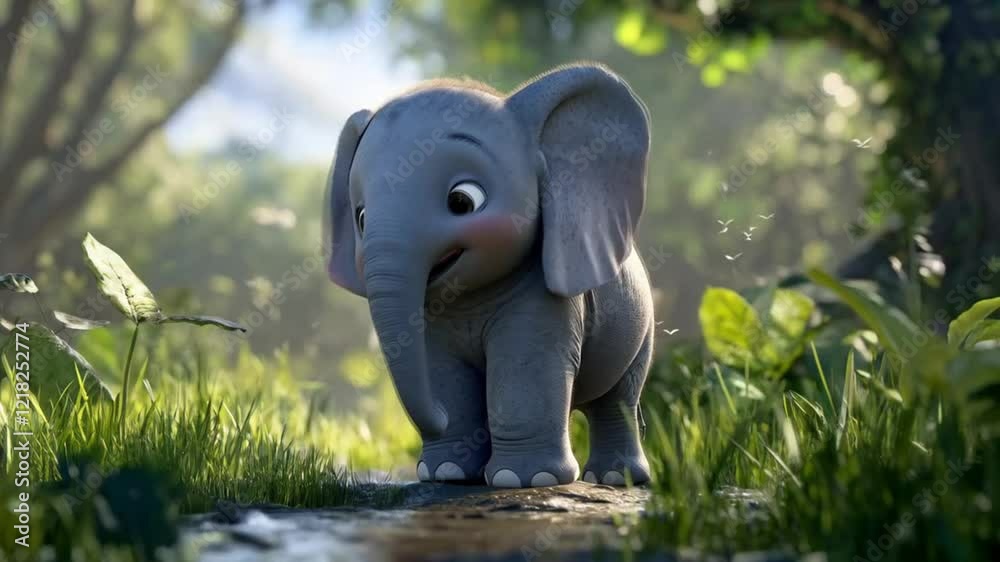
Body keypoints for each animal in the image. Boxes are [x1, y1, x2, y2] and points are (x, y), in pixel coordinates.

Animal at [325, 63, 655, 488]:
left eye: (463, 201)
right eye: (361, 218)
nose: (435, 417)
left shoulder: (545, 297)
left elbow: (525, 367)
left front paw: (525, 481)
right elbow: (441, 368)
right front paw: (445, 474)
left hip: (645, 327)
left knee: (619, 397)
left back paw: (615, 478)